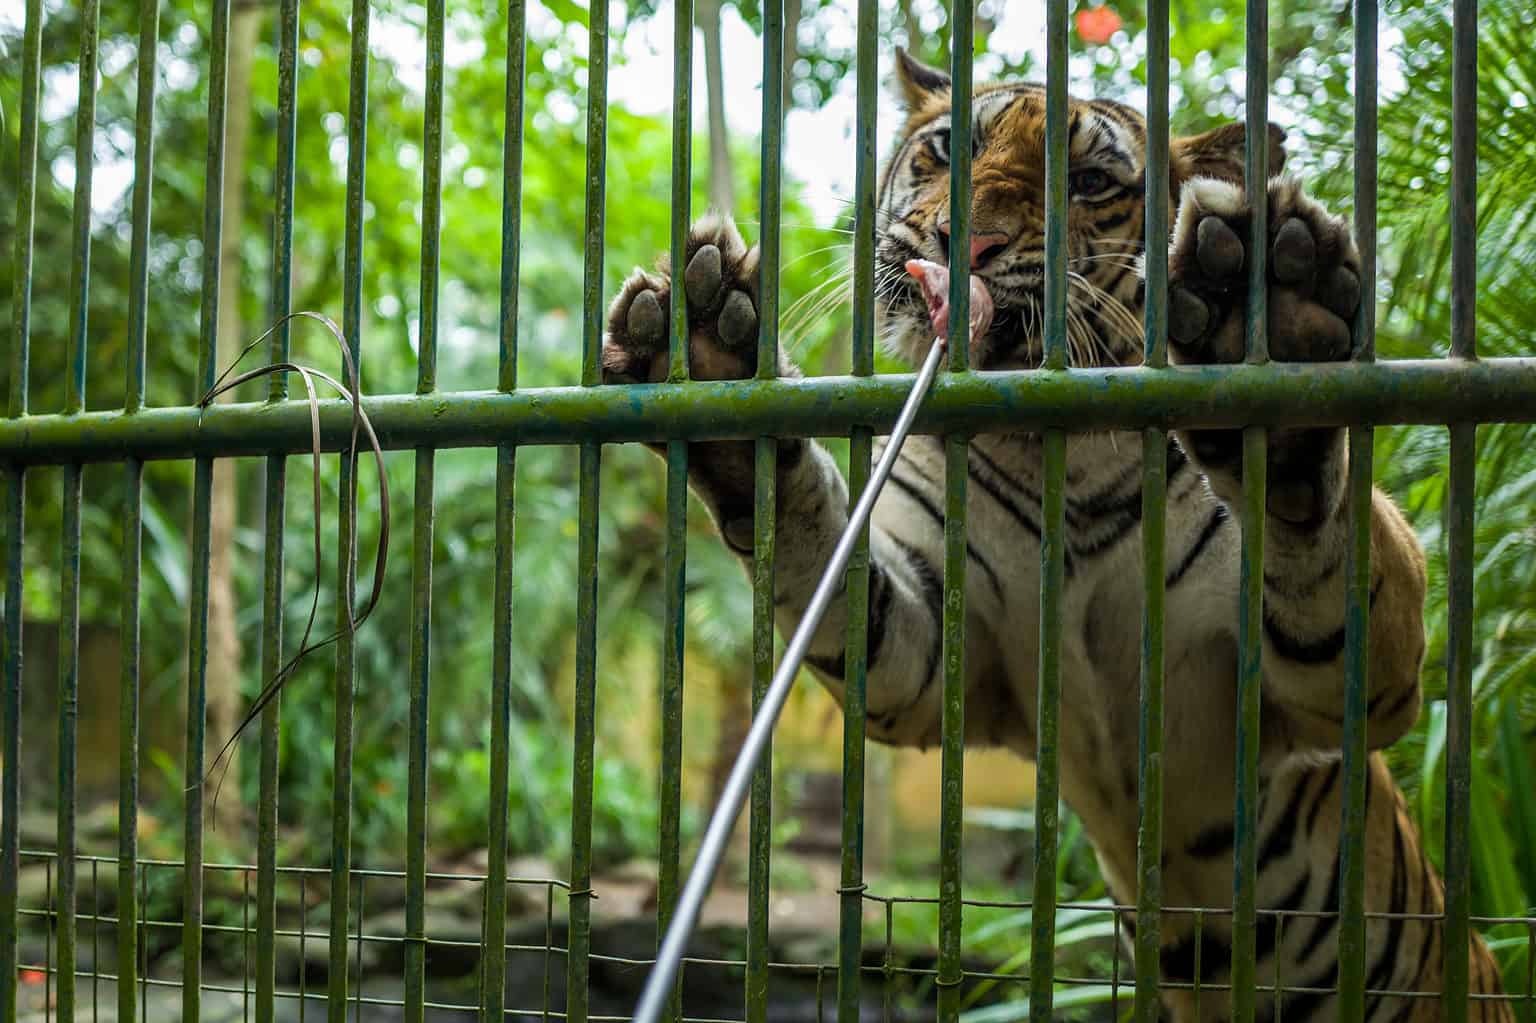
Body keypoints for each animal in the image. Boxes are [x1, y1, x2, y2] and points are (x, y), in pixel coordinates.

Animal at [597, 48, 1511, 1021]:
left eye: (1091, 182)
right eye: (949, 147)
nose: (966, 244)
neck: (1053, 457)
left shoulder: (1337, 689)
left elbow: (1331, 555)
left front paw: (1282, 336)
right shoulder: (929, 657)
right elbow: (826, 559)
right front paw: (711, 352)